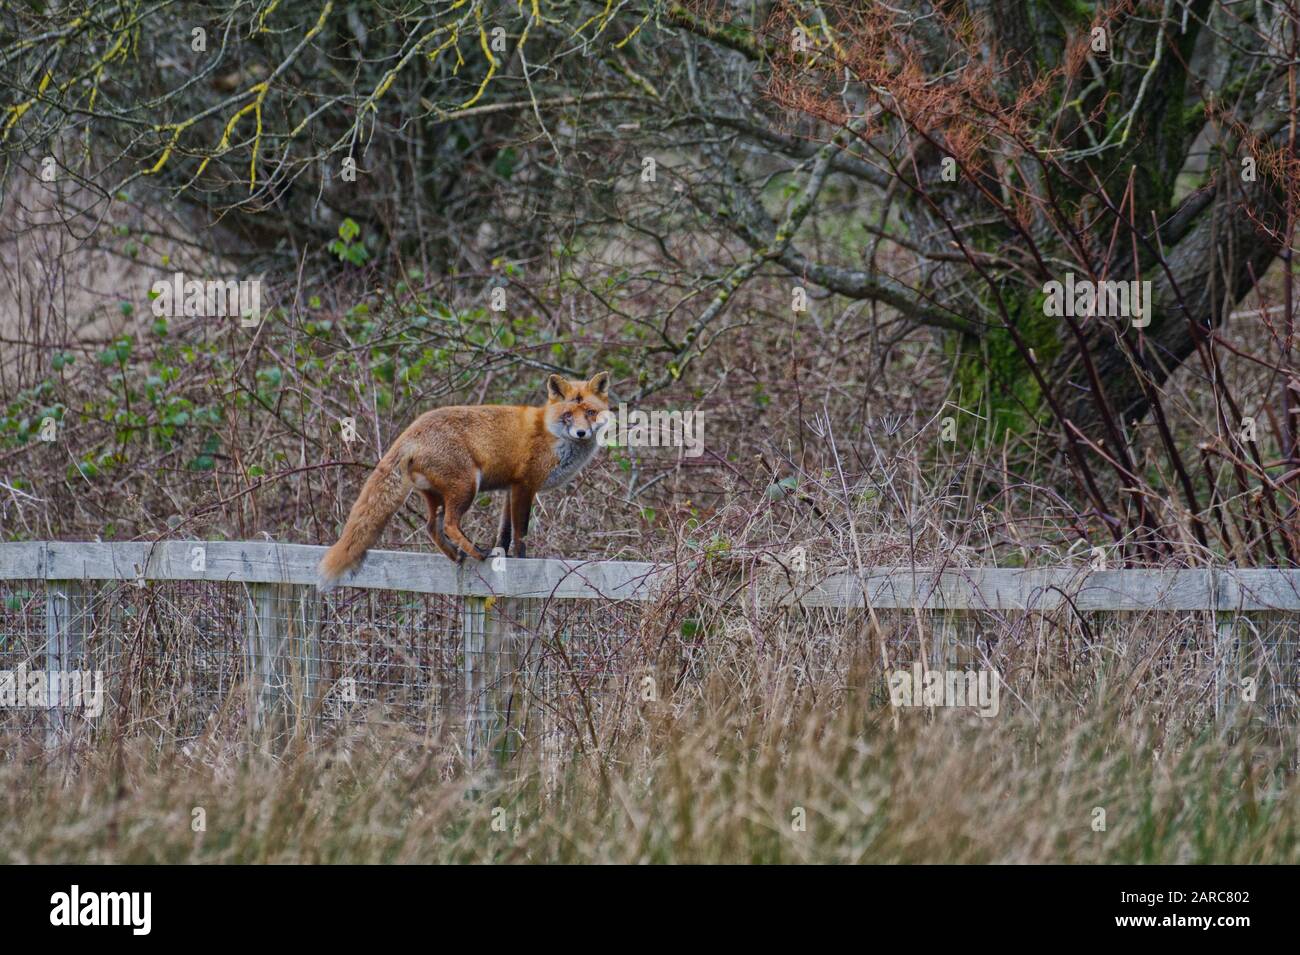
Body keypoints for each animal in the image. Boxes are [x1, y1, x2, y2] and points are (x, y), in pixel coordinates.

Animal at [317, 371, 611, 589]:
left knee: (431, 527)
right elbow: (520, 534)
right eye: (568, 415)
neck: (552, 434)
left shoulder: (510, 489)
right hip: (466, 487)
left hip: (436, 495)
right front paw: (521, 563)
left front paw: (502, 556)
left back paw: (456, 555)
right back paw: (476, 552)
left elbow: (503, 533)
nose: (582, 433)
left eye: (590, 413)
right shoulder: (524, 486)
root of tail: (411, 431)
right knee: (449, 524)